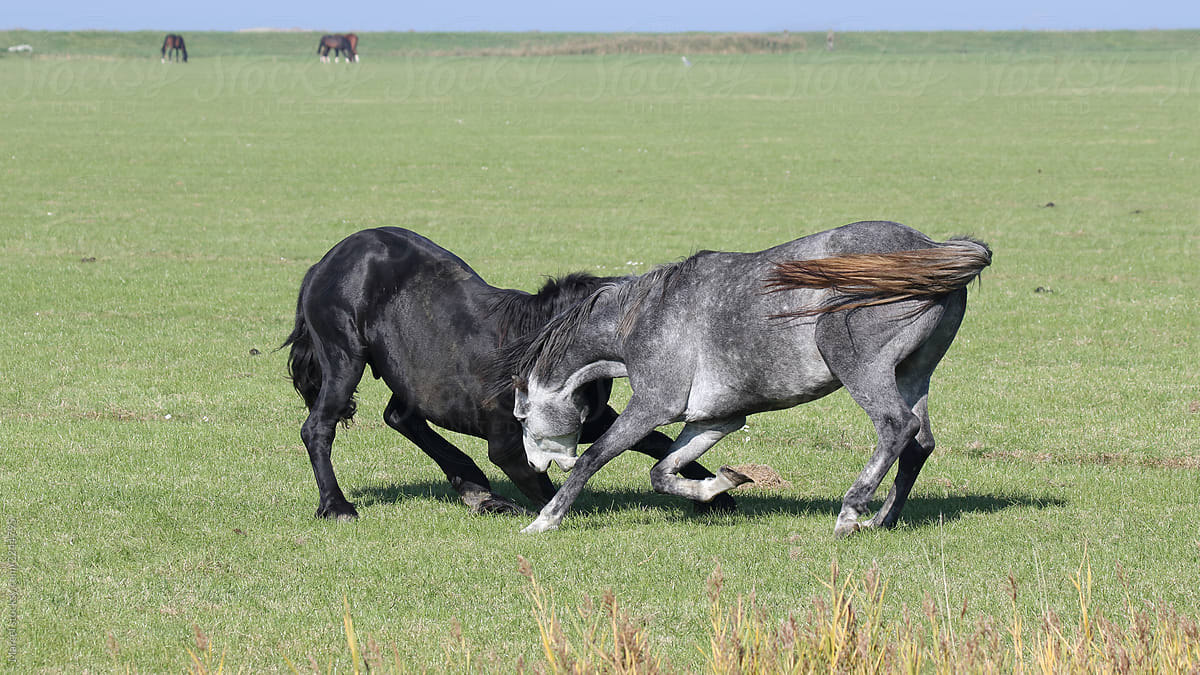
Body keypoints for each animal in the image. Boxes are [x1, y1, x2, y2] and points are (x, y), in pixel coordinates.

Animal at [283, 227, 735, 520]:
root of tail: (323, 263)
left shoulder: (590, 422)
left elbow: (654, 441)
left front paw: (714, 492)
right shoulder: (507, 443)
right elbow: (545, 484)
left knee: (400, 416)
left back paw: (479, 491)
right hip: (344, 359)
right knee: (318, 427)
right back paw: (337, 506)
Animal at [506, 221, 991, 536]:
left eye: (523, 418)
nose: (532, 465)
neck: (643, 318)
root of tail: (927, 245)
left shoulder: (649, 408)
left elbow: (593, 459)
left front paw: (545, 519)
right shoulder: (714, 420)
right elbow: (663, 474)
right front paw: (722, 483)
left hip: (857, 365)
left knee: (897, 428)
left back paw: (850, 513)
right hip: (912, 373)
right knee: (919, 442)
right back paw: (881, 519)